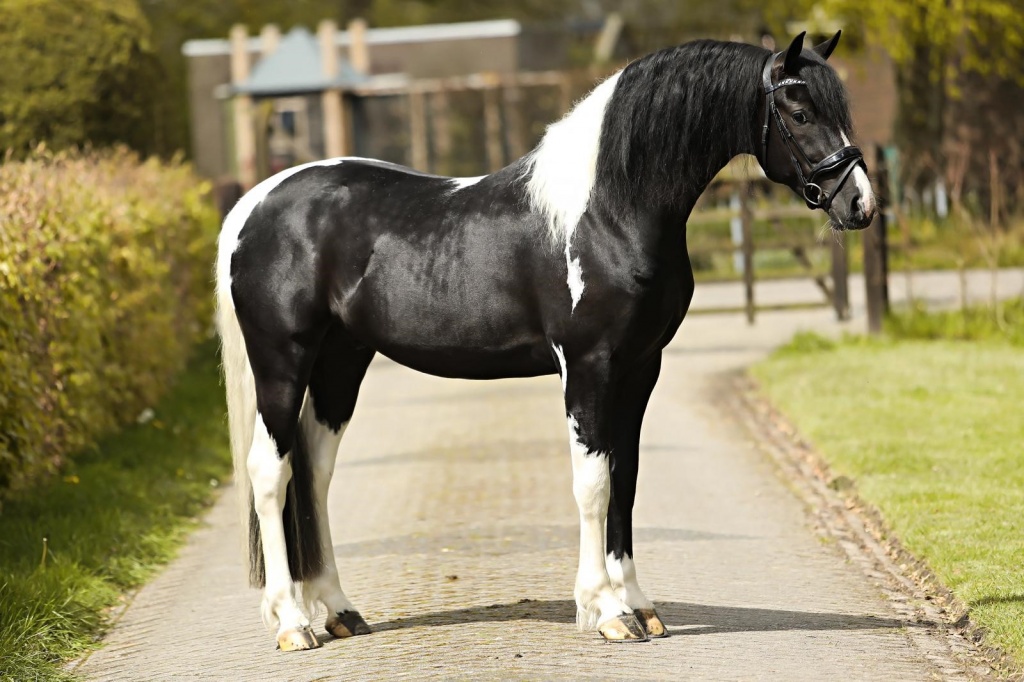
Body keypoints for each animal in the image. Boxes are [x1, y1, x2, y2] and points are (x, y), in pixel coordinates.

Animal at [215, 30, 875, 650]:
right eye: (798, 111)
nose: (860, 204)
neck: (607, 209)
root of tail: (252, 206)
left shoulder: (641, 368)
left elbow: (625, 479)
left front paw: (639, 607)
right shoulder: (589, 366)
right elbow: (593, 483)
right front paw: (605, 612)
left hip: (340, 362)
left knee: (315, 474)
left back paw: (341, 612)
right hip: (283, 362)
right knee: (271, 473)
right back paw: (293, 623)